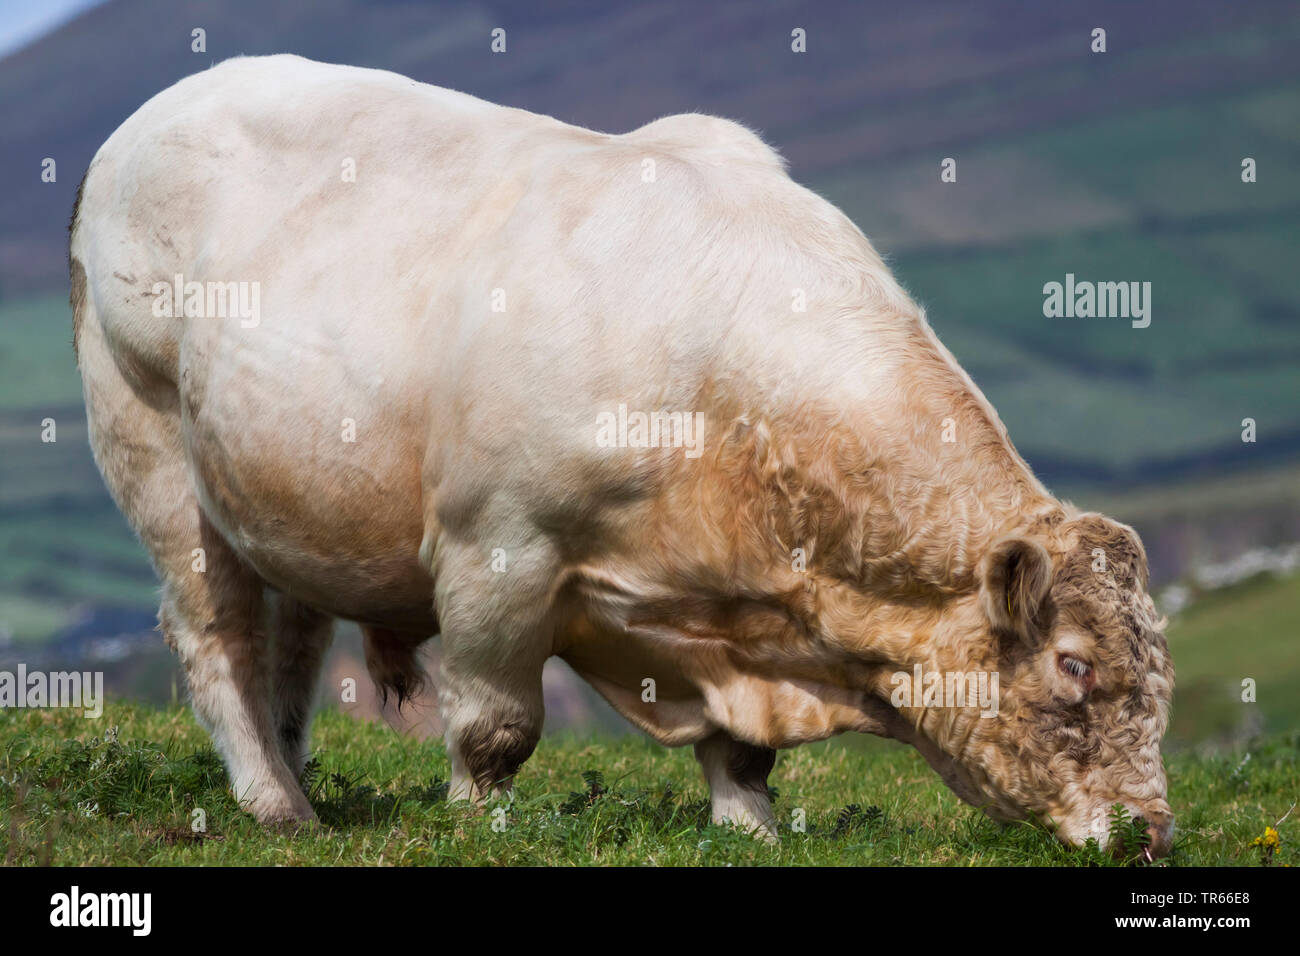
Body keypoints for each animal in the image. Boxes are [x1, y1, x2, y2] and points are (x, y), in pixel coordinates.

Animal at [70, 55, 1174, 857]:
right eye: (1074, 663)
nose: (1151, 833)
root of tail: (148, 117)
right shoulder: (498, 550)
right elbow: (494, 725)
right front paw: (478, 823)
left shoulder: (725, 609)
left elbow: (741, 756)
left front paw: (748, 827)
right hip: (152, 447)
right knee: (216, 635)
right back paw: (272, 800)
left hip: (286, 489)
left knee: (293, 638)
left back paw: (298, 779)